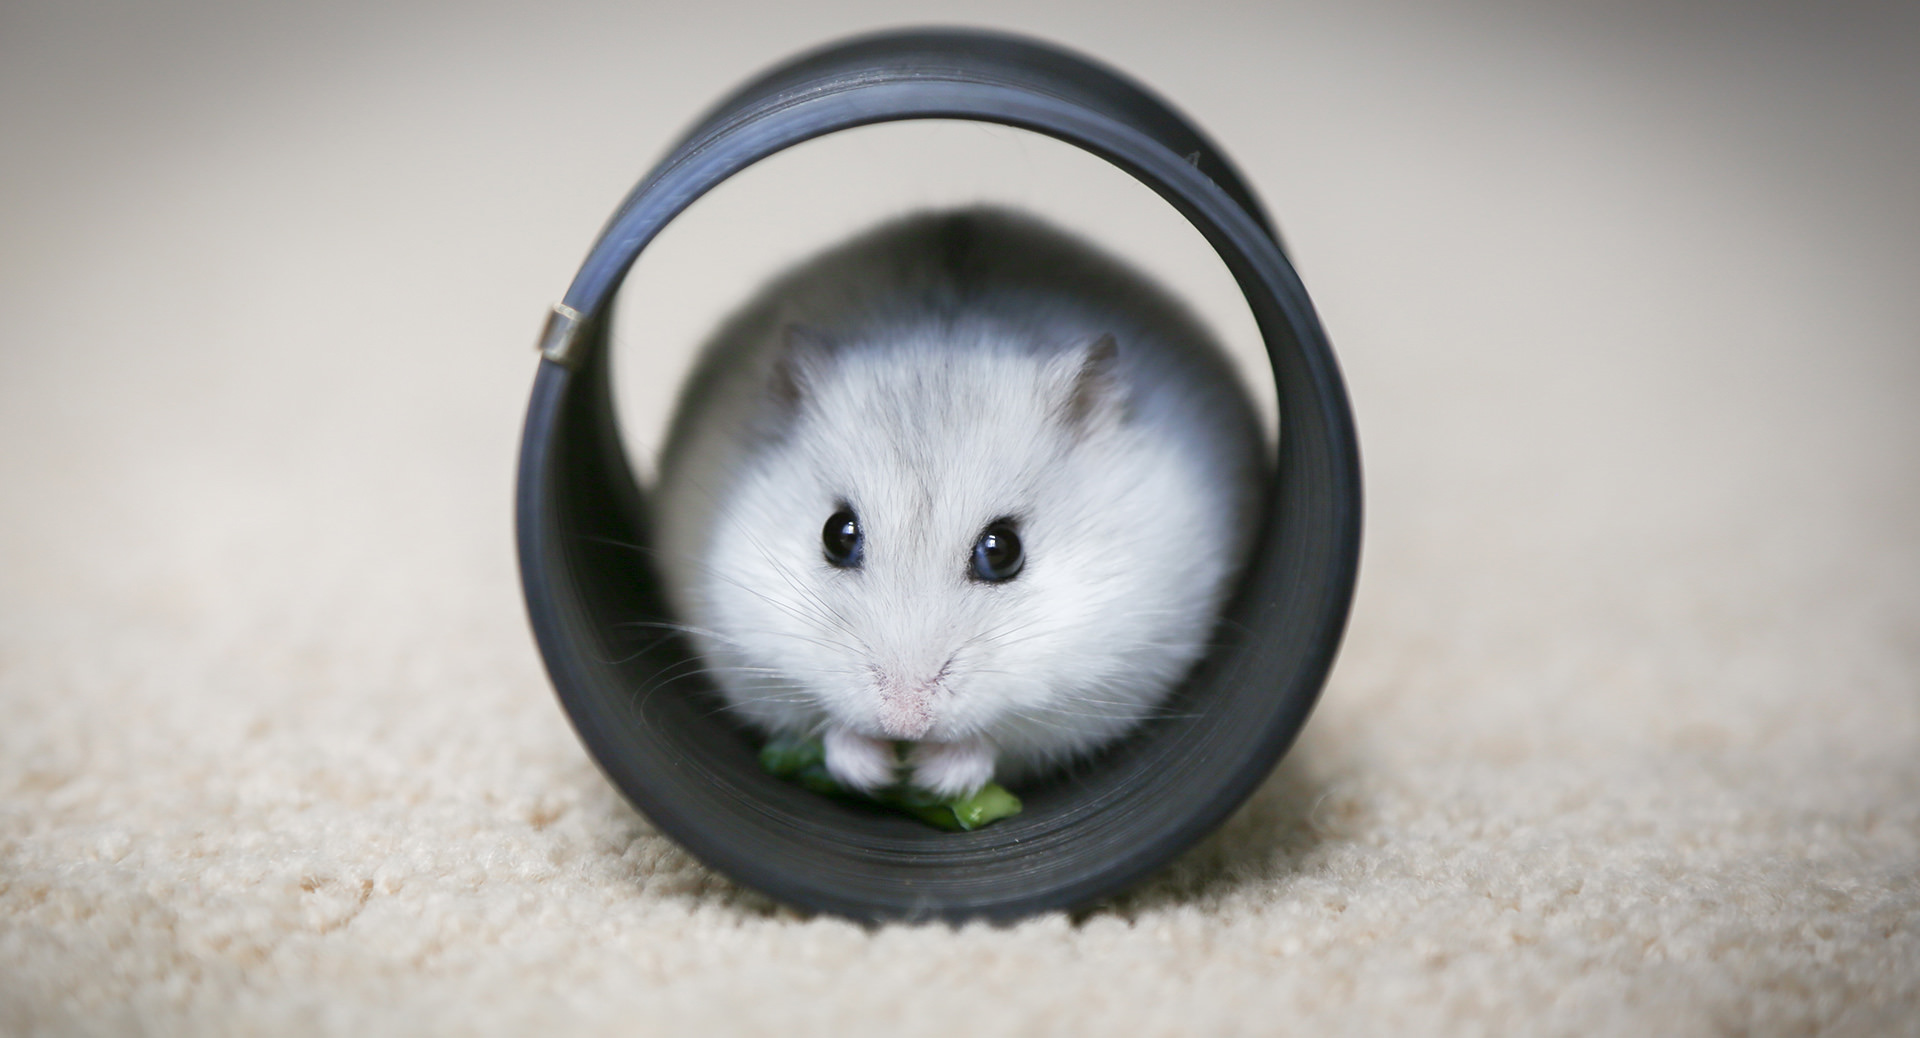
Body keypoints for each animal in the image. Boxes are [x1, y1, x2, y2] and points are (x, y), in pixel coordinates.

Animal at [650, 207, 1267, 799]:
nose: (905, 722)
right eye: (836, 534)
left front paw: (935, 776)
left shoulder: (1109, 674)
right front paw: (873, 770)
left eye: (1003, 550)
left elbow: (999, 740)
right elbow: (828, 729)